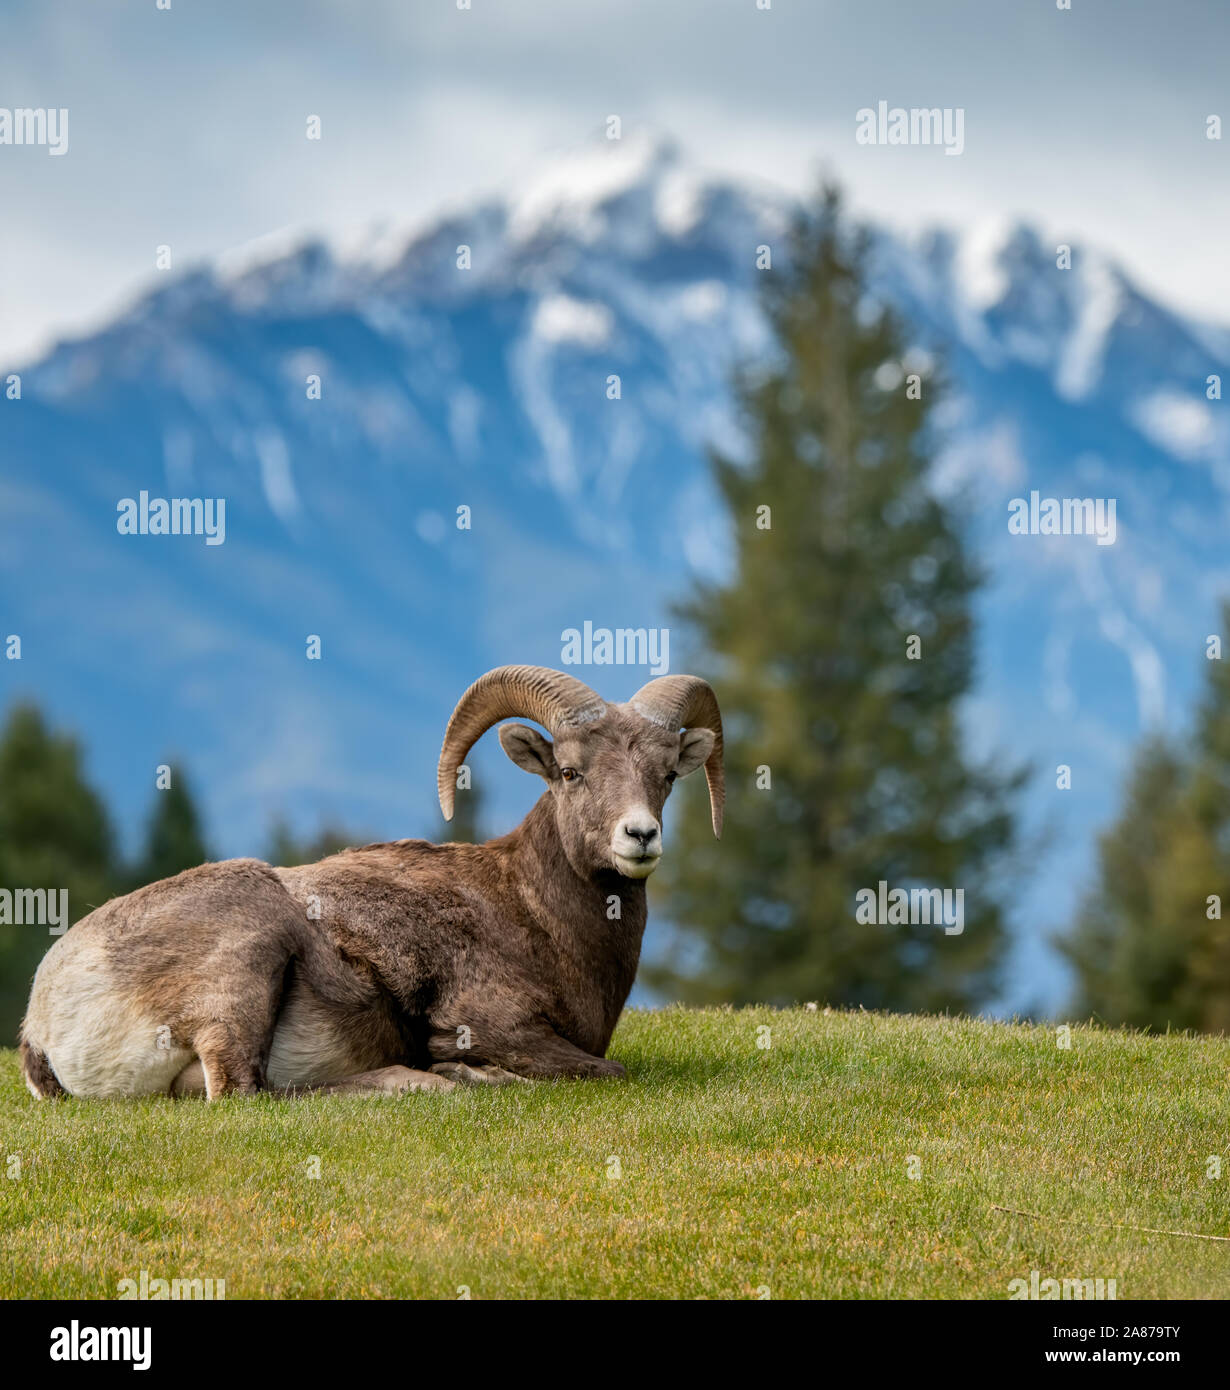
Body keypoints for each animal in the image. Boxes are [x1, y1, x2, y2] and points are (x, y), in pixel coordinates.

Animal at [19, 666, 724, 1099]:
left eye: (666, 776)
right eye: (571, 773)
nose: (639, 836)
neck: (534, 917)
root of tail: (41, 1021)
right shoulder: (497, 1027)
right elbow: (610, 1068)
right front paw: (467, 1071)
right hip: (247, 961)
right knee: (249, 1093)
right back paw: (434, 1082)